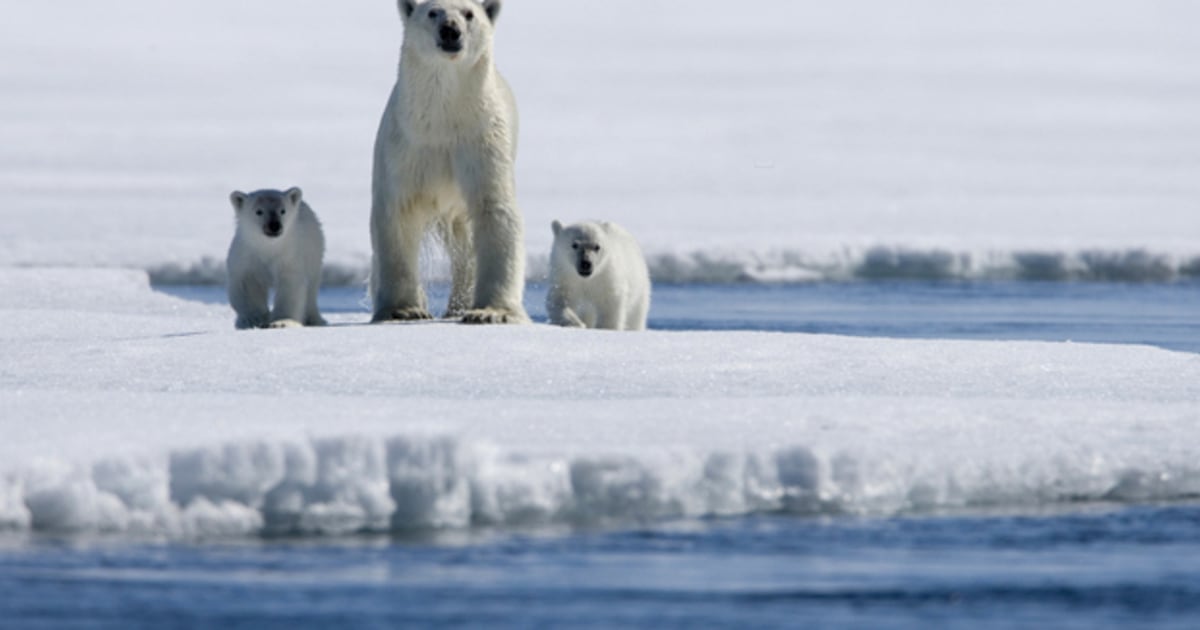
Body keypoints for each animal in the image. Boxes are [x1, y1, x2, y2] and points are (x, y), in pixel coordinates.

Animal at [226, 187, 326, 330]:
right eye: (259, 211)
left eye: (283, 211)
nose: (274, 225)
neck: (269, 247)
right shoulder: (246, 257)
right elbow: (247, 285)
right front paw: (254, 319)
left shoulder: (289, 257)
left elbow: (289, 286)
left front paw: (281, 322)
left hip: (314, 253)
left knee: (312, 288)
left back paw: (314, 319)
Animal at [370, 0, 528, 325]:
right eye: (433, 12)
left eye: (469, 14)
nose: (450, 30)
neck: (443, 120)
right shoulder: (405, 145)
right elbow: (398, 213)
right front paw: (403, 309)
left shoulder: (481, 142)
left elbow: (495, 210)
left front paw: (490, 312)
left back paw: (459, 305)